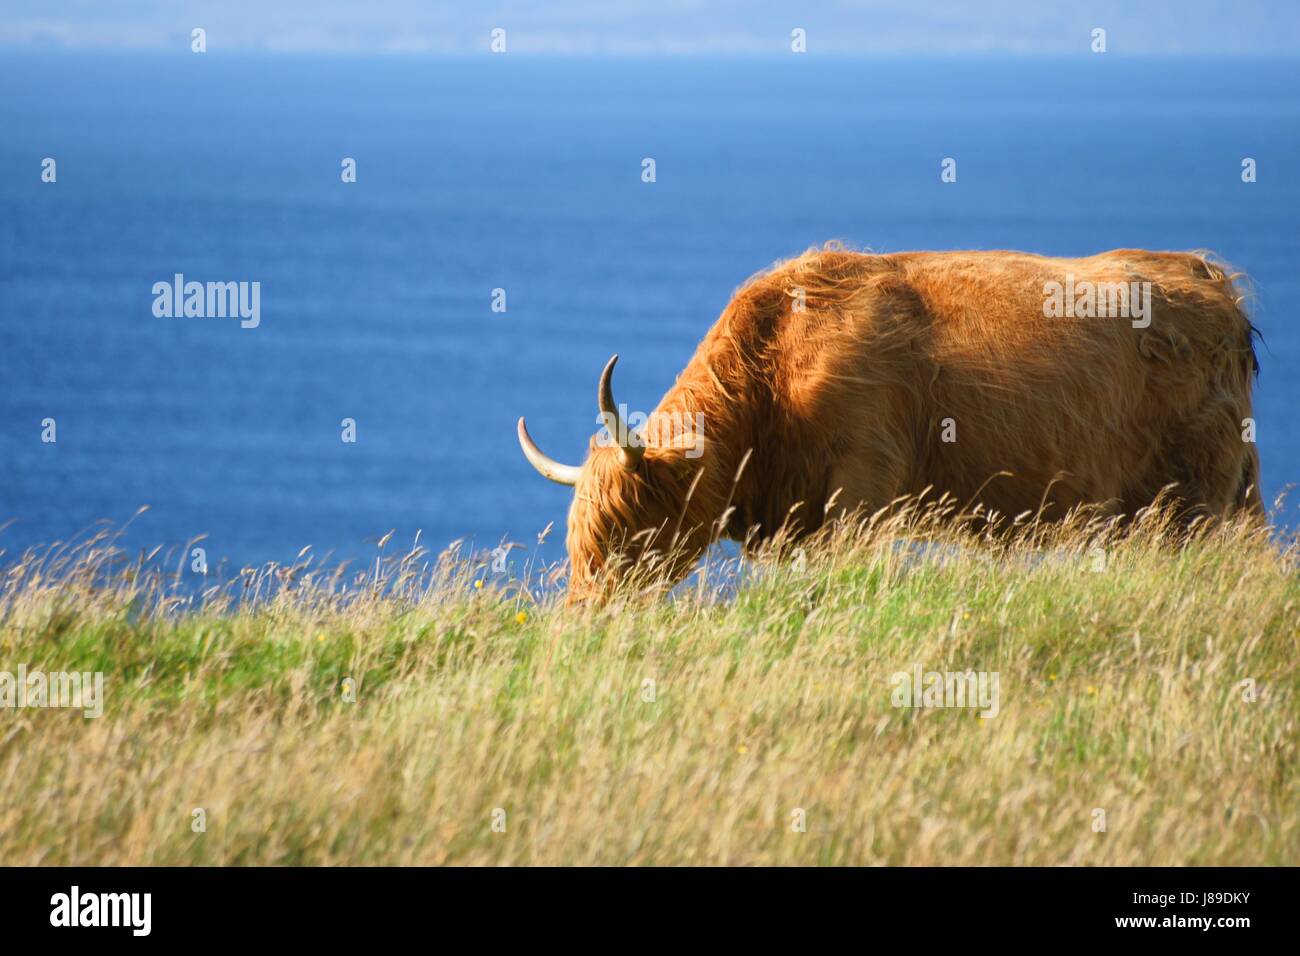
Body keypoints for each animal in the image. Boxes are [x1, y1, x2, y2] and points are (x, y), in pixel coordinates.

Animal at [517, 247, 1262, 598]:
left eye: (629, 532)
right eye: (576, 543)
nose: (584, 619)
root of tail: (1212, 280)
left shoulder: (859, 489)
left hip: (1194, 501)